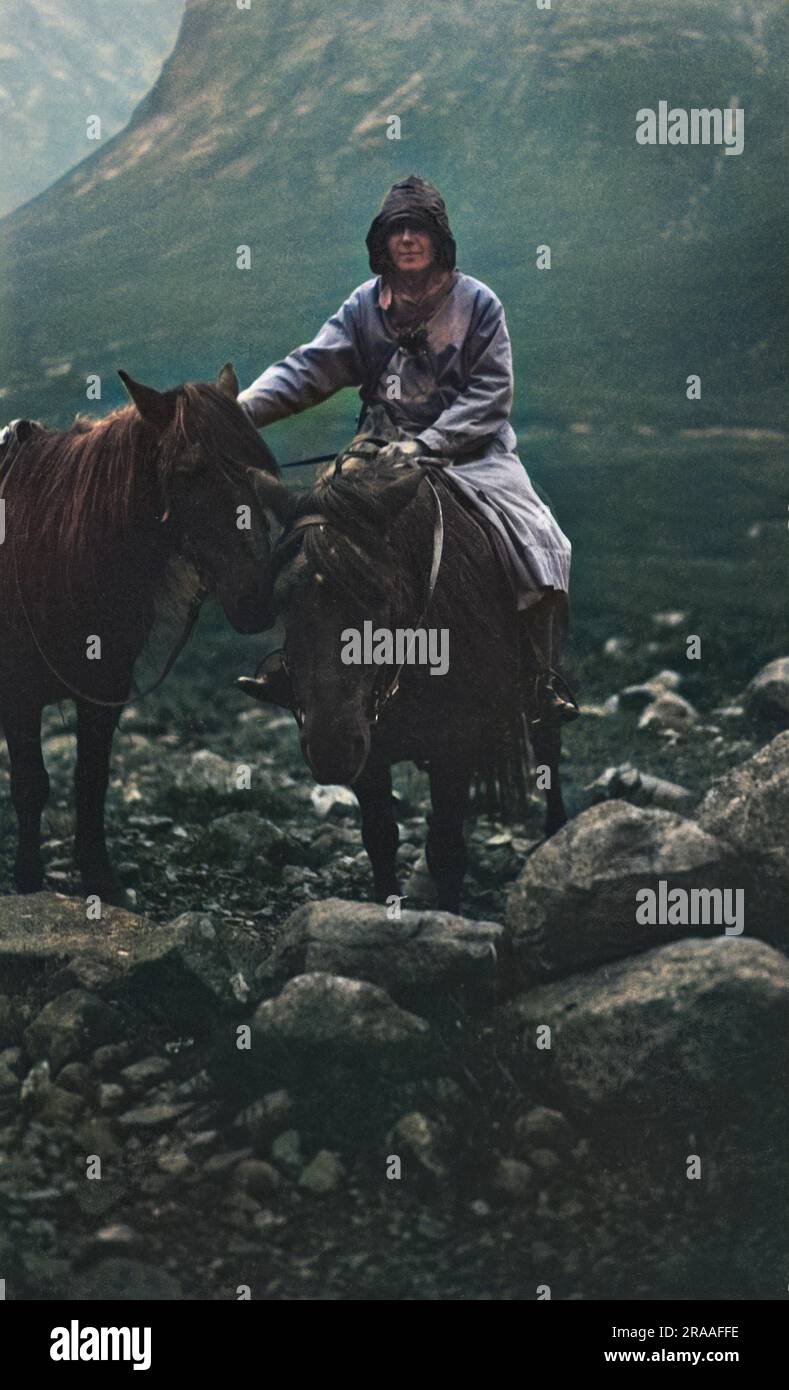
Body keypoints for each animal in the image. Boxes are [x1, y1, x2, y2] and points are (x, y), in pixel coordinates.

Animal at [0, 363, 277, 903]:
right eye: (190, 472)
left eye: (261, 465)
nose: (258, 597)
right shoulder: (17, 695)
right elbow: (30, 784)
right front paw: (28, 881)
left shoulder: (103, 689)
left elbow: (91, 779)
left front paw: (102, 882)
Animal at [253, 456, 568, 913]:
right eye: (281, 601)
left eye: (379, 596)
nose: (331, 747)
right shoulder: (369, 754)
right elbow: (381, 839)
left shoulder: (456, 747)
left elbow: (448, 848)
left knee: (549, 754)